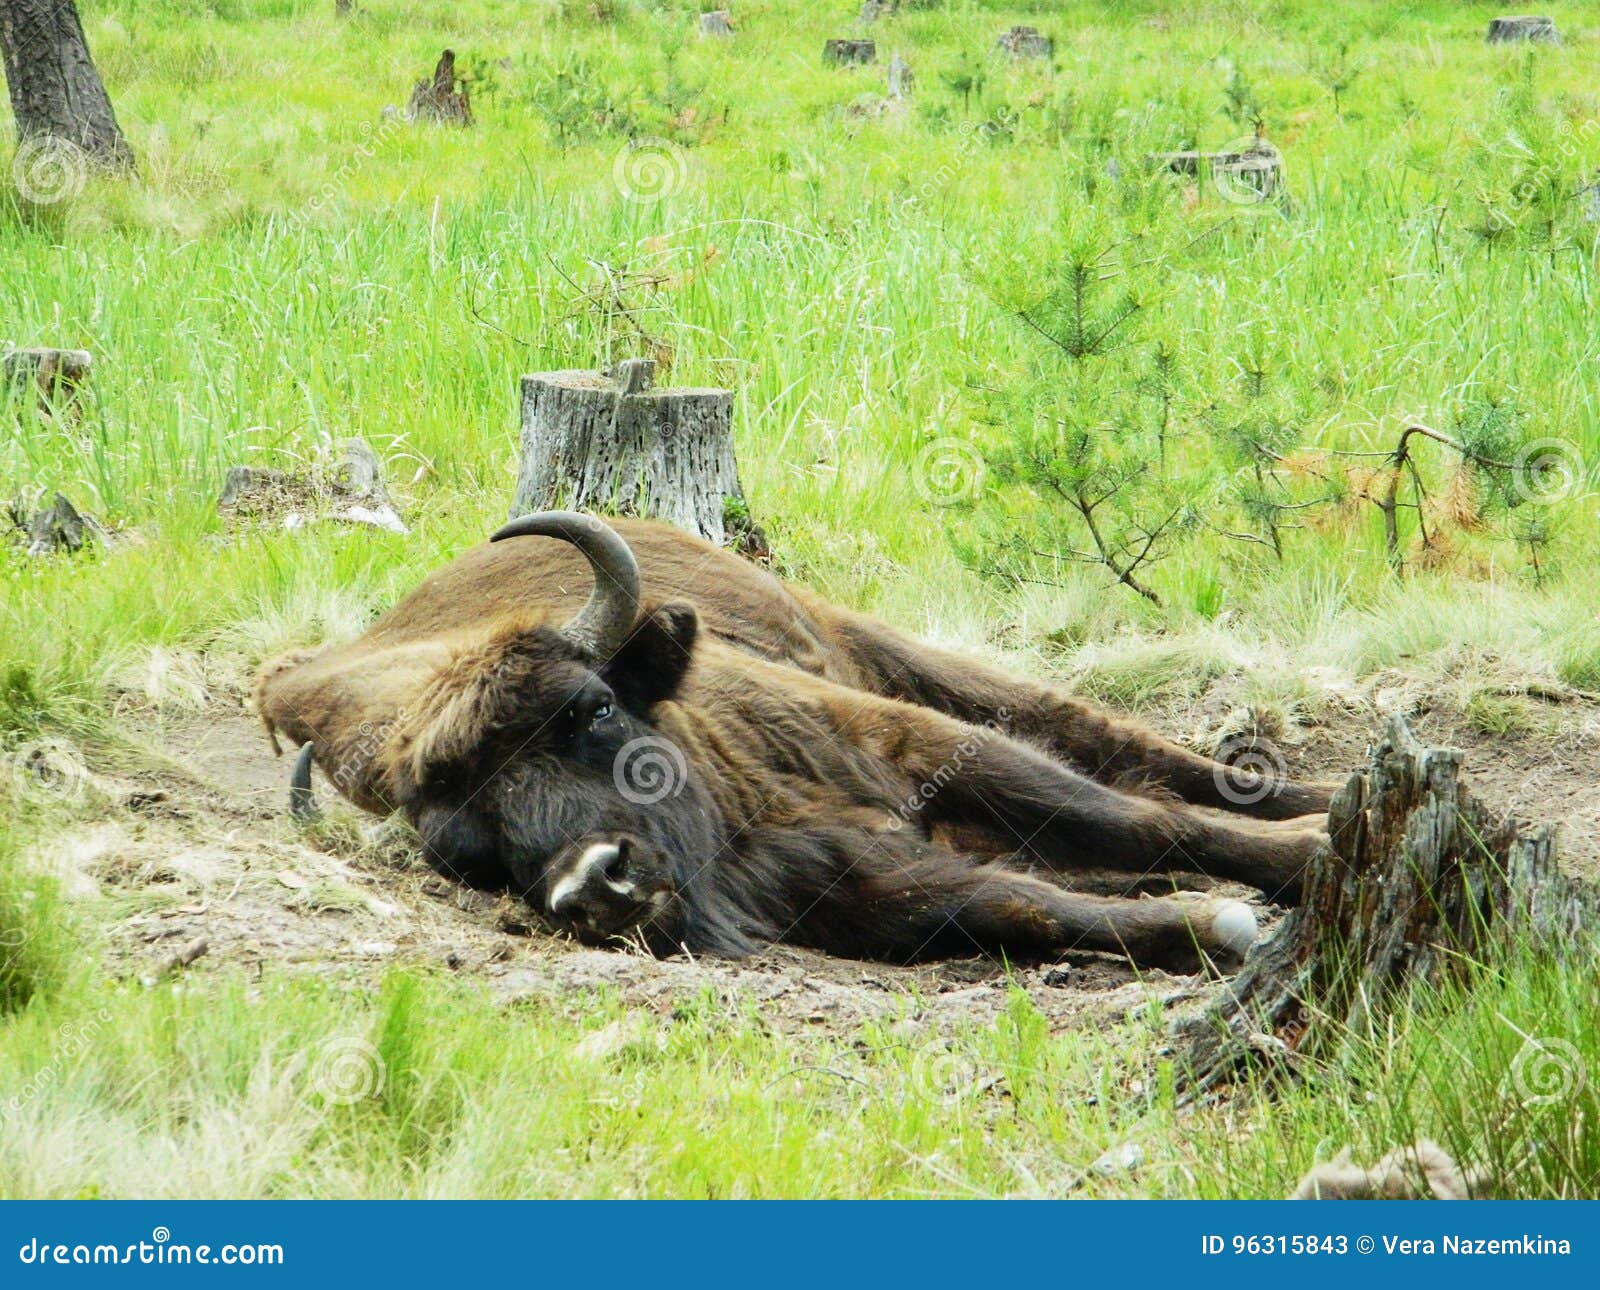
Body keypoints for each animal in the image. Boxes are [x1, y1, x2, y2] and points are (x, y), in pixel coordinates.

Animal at [255, 512, 1333, 970]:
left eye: (591, 711)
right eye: (463, 846)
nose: (592, 886)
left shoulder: (914, 744)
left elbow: (1135, 817)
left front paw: (1300, 859)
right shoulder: (846, 880)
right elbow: (1016, 904)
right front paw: (1208, 924)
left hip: (894, 656)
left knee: (1124, 749)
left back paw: (1315, 803)